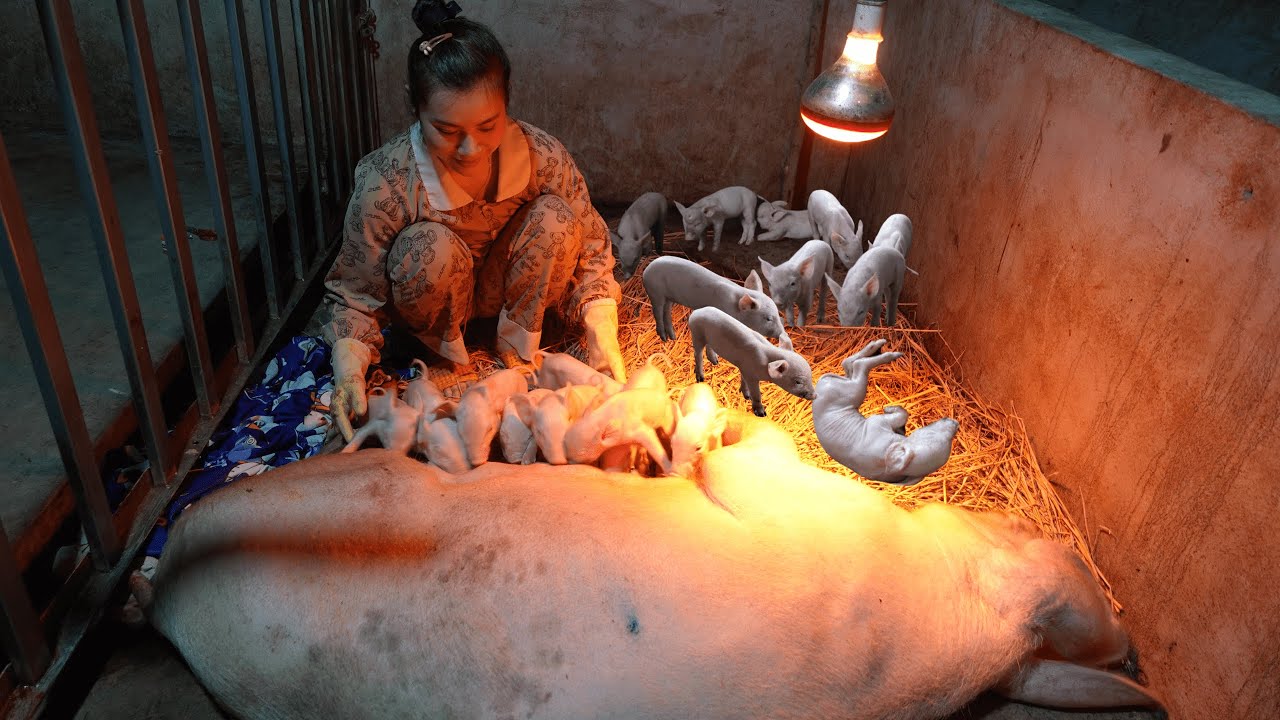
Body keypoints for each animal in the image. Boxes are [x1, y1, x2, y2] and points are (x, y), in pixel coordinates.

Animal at [642, 256, 785, 344]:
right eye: (768, 319)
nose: (782, 334)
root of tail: (647, 269)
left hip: (668, 297)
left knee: (666, 312)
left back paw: (673, 337)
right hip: (655, 292)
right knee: (657, 311)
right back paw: (664, 338)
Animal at [814, 339, 959, 484]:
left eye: (949, 439)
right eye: (930, 434)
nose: (955, 422)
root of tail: (821, 384)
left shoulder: (876, 423)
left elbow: (903, 415)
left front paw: (890, 411)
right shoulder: (877, 422)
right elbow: (903, 414)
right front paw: (889, 410)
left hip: (850, 389)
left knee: (853, 364)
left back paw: (883, 348)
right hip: (852, 389)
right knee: (854, 364)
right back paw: (886, 349)